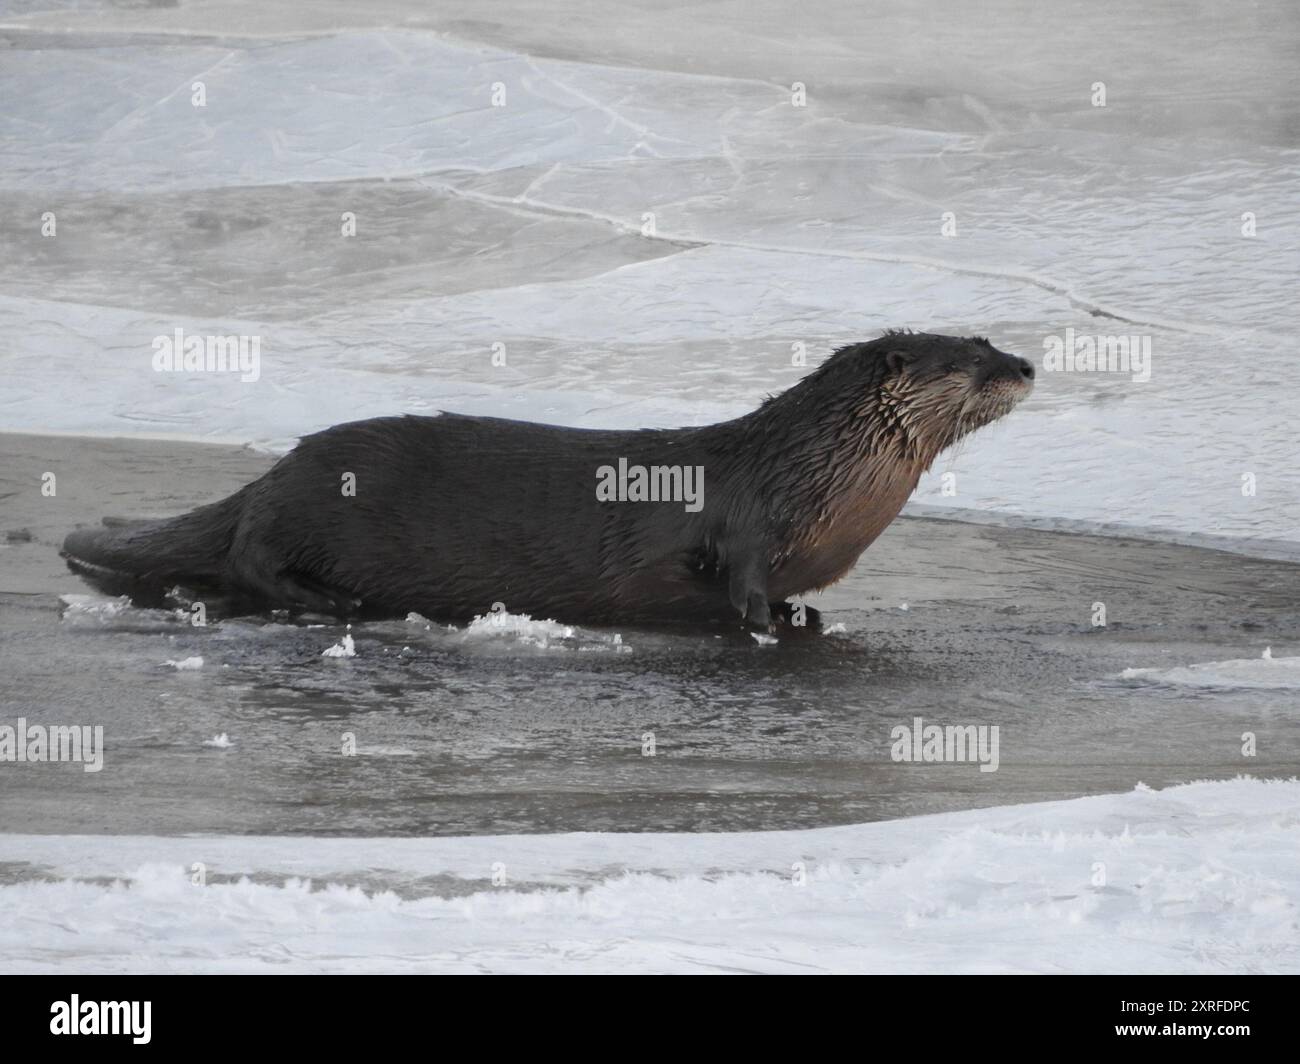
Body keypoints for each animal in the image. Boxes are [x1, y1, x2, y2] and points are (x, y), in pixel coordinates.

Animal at [62, 332, 1033, 629]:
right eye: (969, 358)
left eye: (991, 339)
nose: (1025, 364)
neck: (818, 472)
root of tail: (268, 475)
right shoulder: (747, 527)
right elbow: (742, 584)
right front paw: (766, 625)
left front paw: (805, 614)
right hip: (305, 501)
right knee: (252, 559)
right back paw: (330, 599)